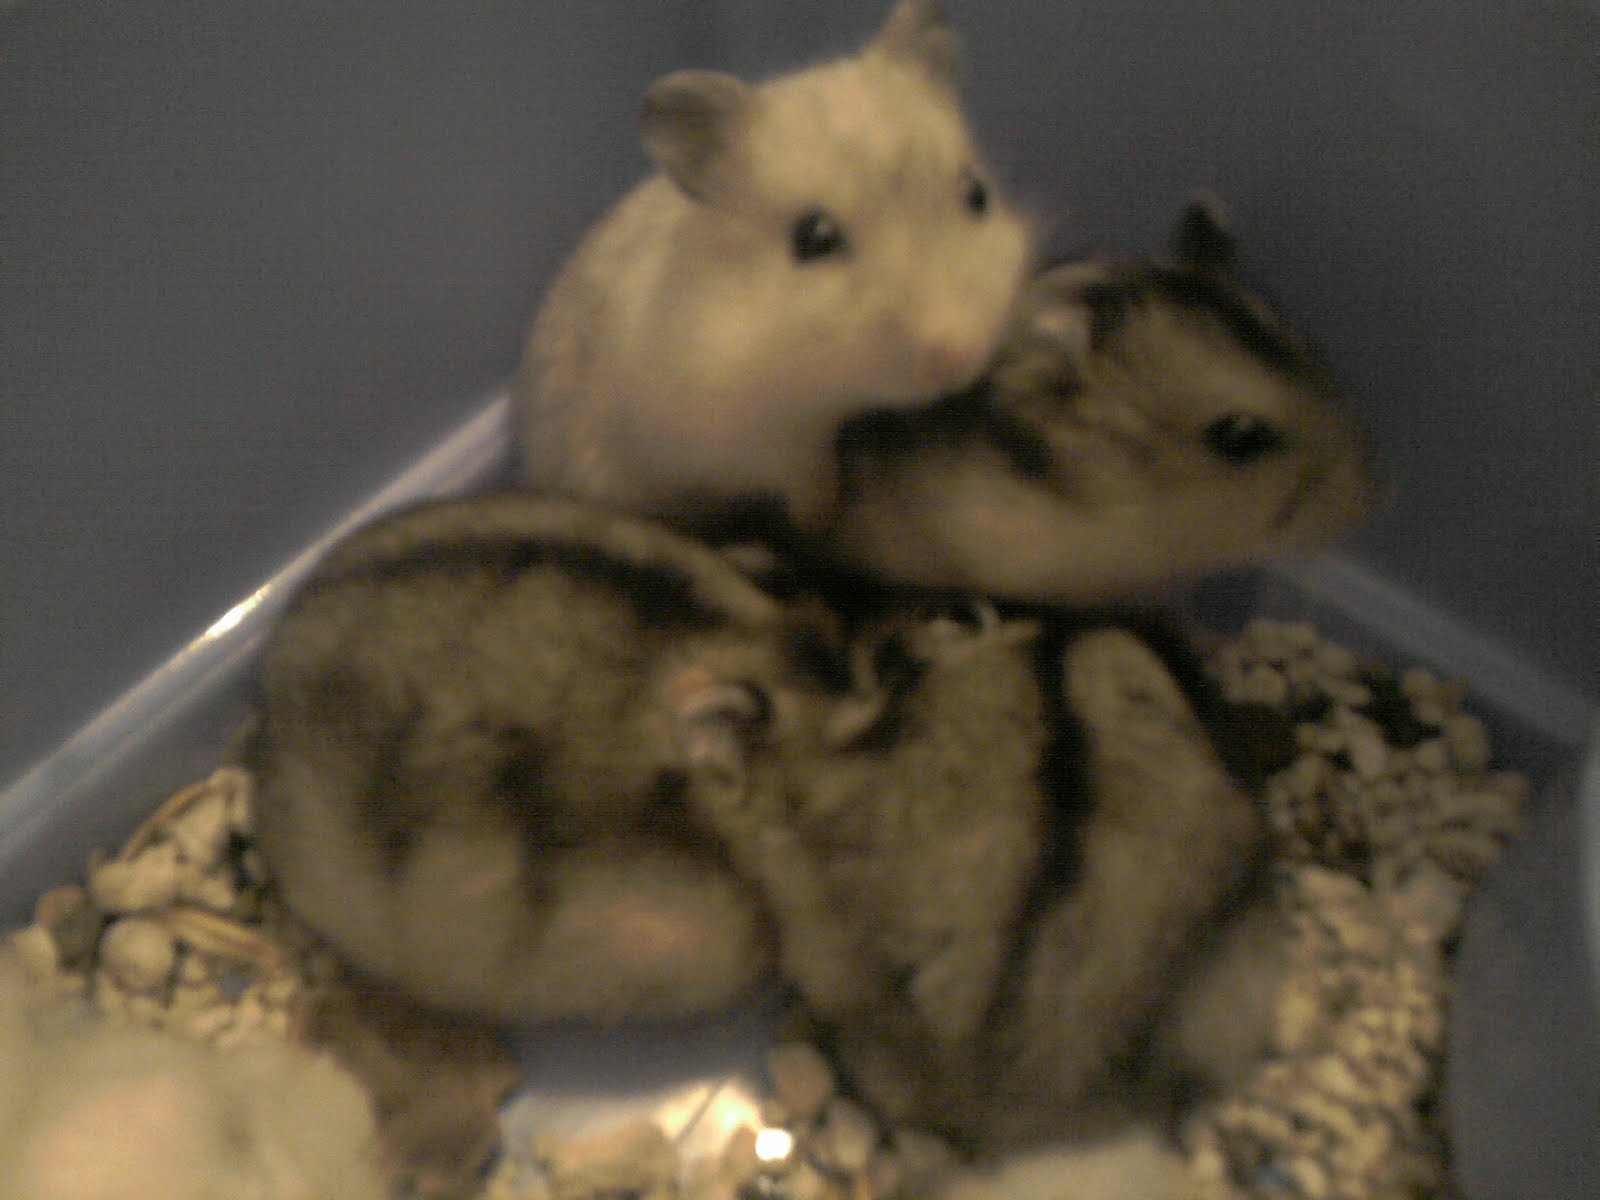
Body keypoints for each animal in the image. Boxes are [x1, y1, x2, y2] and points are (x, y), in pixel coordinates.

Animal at [513, 0, 1033, 525]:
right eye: (814, 238)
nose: (956, 356)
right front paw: (820, 510)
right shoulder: (729, 429)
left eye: (978, 195)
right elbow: (796, 469)